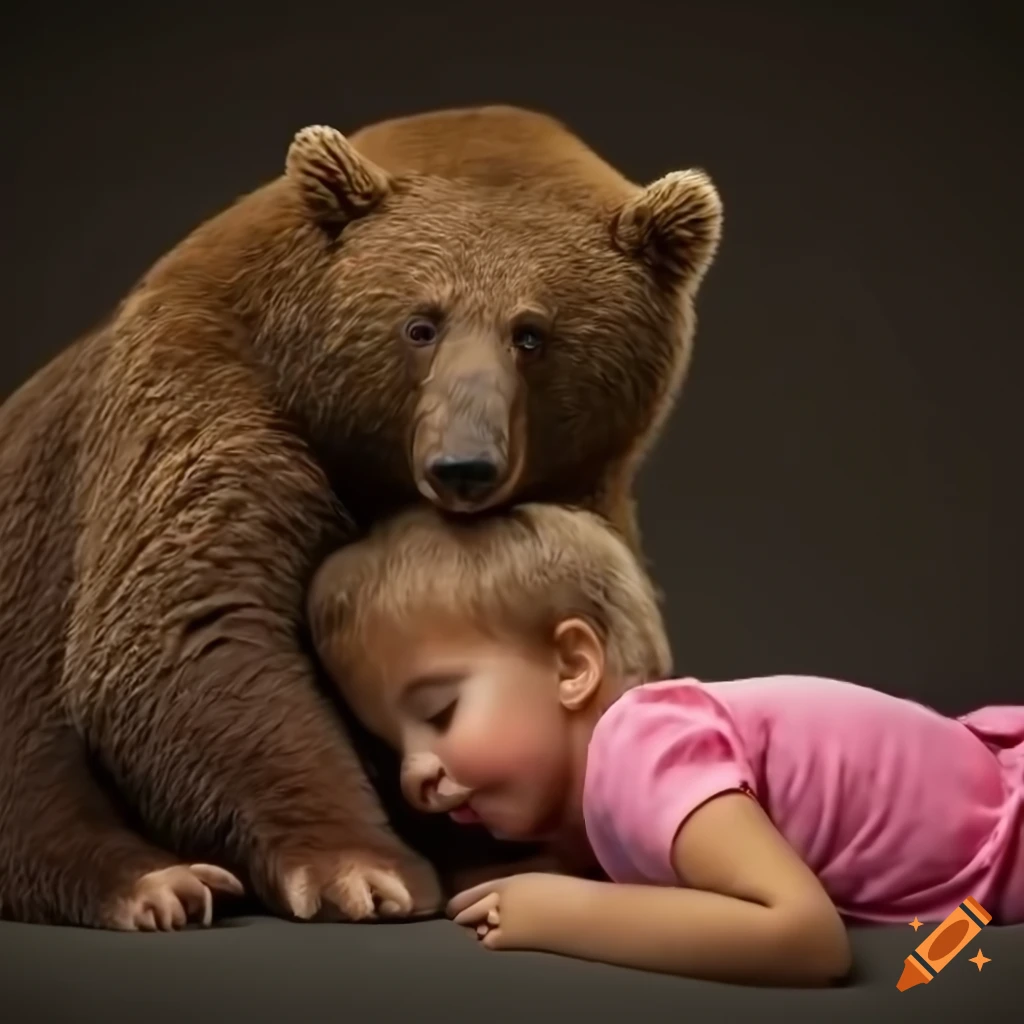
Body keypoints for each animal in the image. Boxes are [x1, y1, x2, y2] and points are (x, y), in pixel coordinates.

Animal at [0, 104, 723, 929]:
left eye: (532, 333)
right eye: (421, 323)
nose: (462, 465)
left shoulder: (586, 480)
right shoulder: (202, 393)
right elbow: (190, 622)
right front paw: (361, 868)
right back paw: (159, 882)